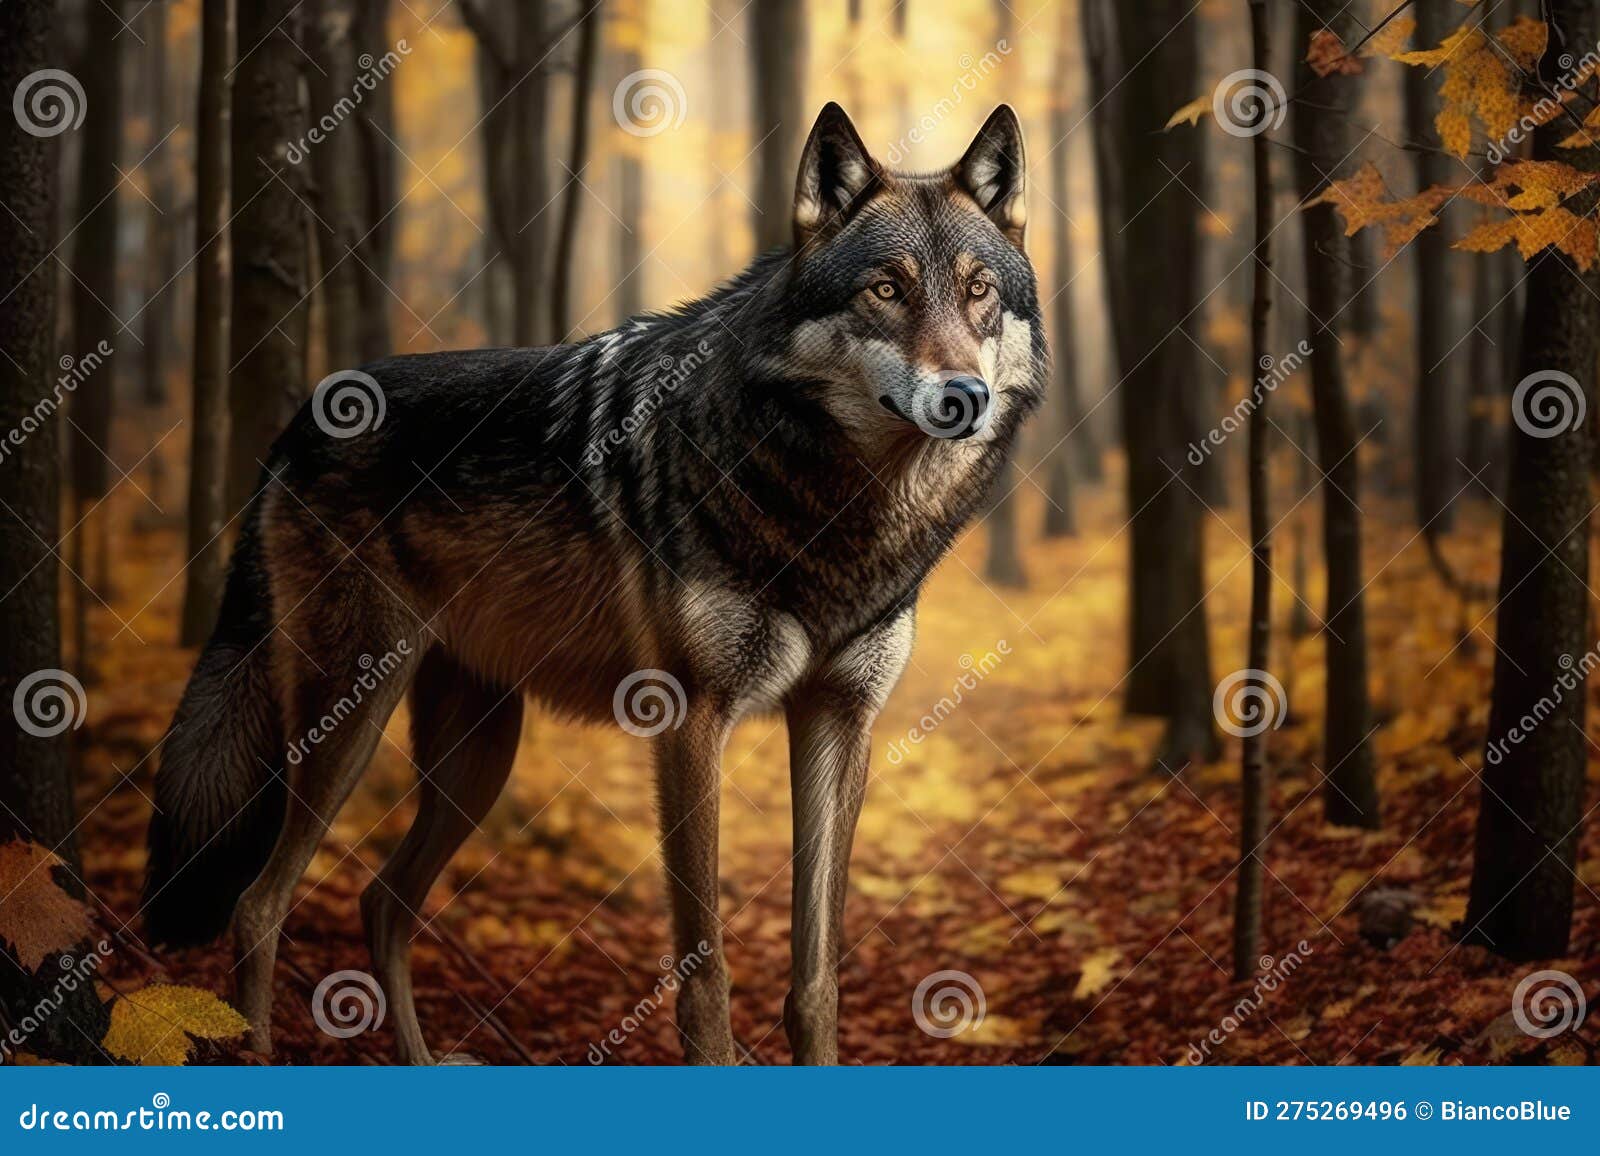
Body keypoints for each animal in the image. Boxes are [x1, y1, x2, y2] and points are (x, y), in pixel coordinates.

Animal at [144, 103, 1046, 1065]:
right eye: (885, 289)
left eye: (980, 292)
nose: (962, 396)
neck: (838, 515)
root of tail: (300, 421)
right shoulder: (690, 721)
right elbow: (706, 976)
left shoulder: (840, 721)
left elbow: (816, 981)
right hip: (348, 718)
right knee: (257, 905)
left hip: (477, 753)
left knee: (382, 901)